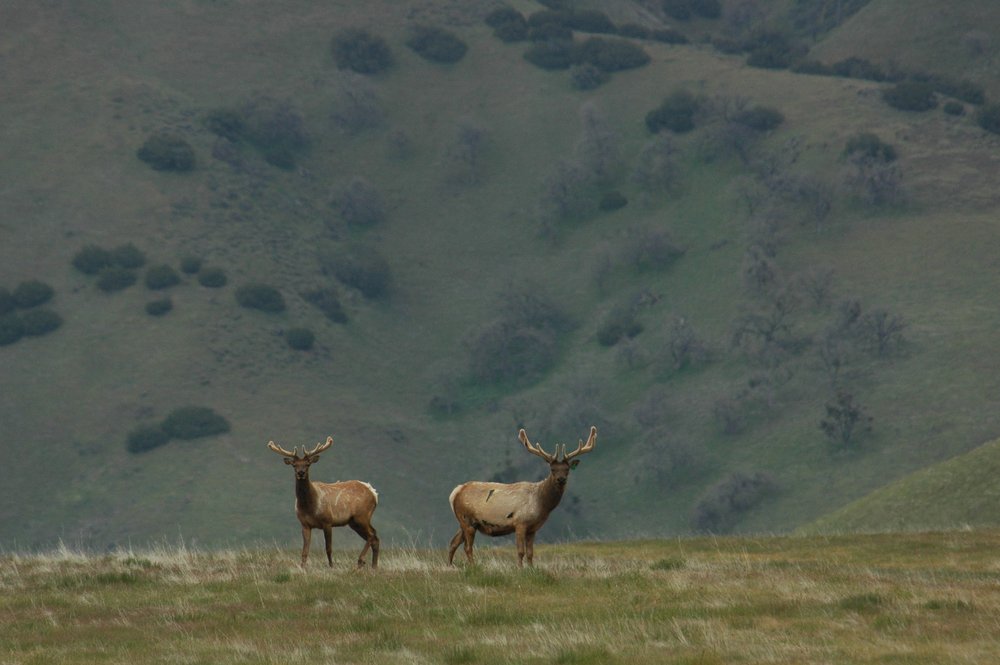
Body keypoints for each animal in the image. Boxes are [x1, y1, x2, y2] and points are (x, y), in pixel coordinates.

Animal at [267, 436, 380, 569]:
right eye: (294, 465)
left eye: (308, 464)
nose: (301, 473)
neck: (309, 507)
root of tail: (373, 492)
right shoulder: (305, 524)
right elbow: (305, 551)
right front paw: (302, 567)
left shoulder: (328, 521)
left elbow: (328, 548)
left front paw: (331, 566)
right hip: (353, 522)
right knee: (374, 537)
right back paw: (373, 566)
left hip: (362, 515)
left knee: (372, 534)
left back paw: (361, 561)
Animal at [447, 425, 597, 567]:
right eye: (552, 469)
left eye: (567, 469)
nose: (561, 479)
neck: (542, 504)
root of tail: (455, 492)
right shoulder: (520, 522)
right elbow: (520, 551)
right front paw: (519, 569)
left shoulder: (533, 528)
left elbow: (530, 553)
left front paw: (531, 568)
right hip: (467, 519)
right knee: (467, 547)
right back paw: (473, 566)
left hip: (466, 522)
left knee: (453, 543)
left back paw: (450, 566)